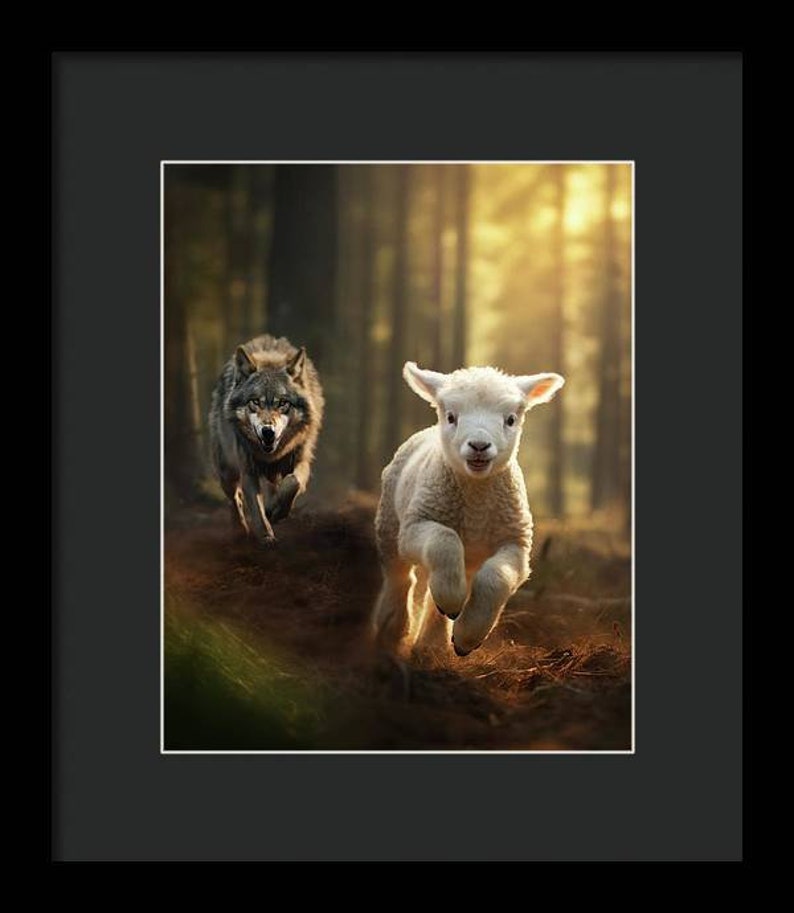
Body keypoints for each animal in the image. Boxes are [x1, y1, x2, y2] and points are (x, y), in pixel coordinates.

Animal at [208, 334, 324, 545]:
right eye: (255, 402)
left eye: (282, 403)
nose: (267, 431)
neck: (271, 455)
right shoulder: (248, 470)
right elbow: (256, 508)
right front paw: (265, 535)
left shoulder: (301, 460)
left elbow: (292, 483)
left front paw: (278, 512)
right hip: (226, 470)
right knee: (234, 497)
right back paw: (240, 529)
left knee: (272, 486)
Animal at [372, 361, 565, 658]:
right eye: (452, 417)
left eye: (510, 419)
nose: (479, 446)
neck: (476, 498)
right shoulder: (418, 523)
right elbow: (444, 540)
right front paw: (452, 602)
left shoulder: (516, 544)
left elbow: (495, 580)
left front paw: (467, 637)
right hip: (390, 521)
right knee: (399, 574)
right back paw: (394, 625)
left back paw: (433, 645)